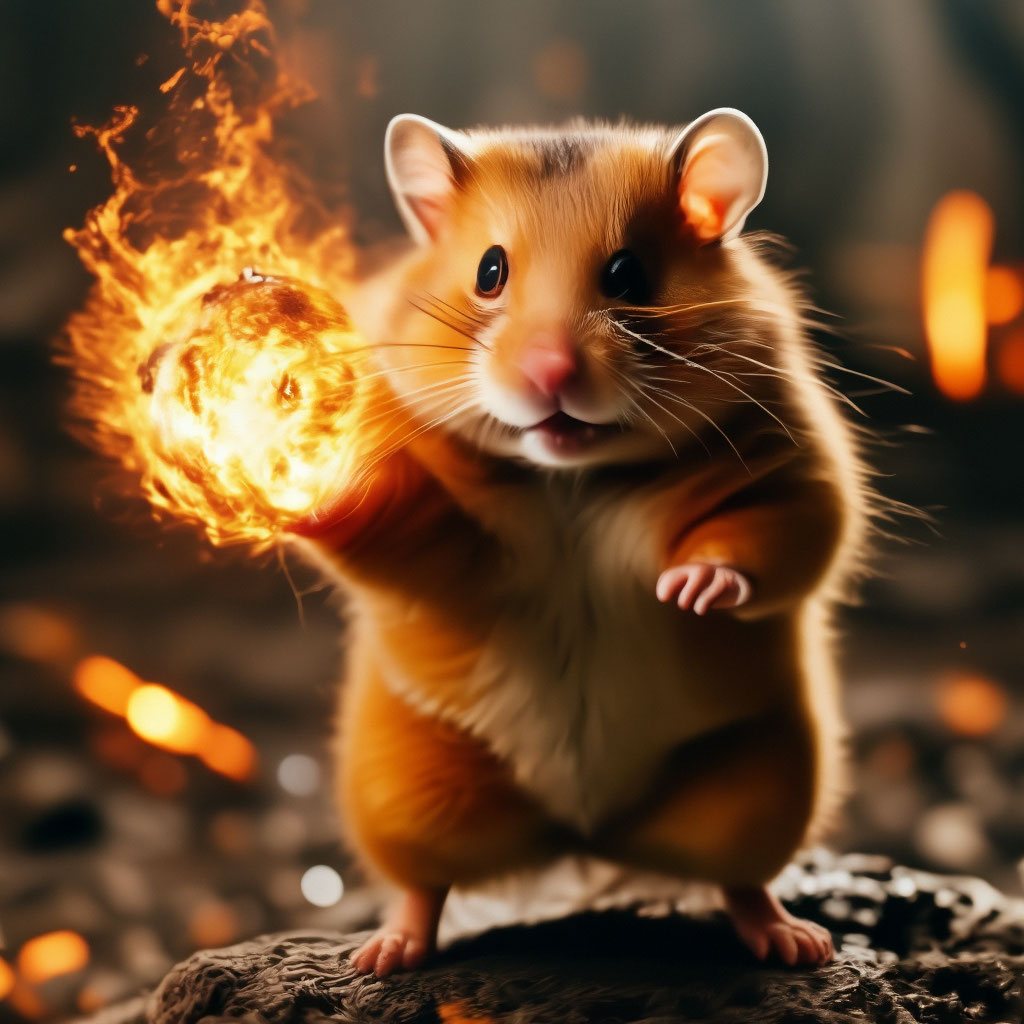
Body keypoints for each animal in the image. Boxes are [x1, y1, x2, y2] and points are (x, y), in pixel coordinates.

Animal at [297, 109, 870, 977]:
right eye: (490, 270)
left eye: (629, 275)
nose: (549, 374)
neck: (571, 479)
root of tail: (583, 832)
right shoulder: (449, 539)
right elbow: (400, 527)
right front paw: (301, 482)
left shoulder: (790, 464)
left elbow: (778, 536)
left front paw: (691, 589)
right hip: (408, 792)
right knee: (424, 886)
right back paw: (383, 955)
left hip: (762, 785)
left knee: (741, 879)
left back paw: (796, 943)